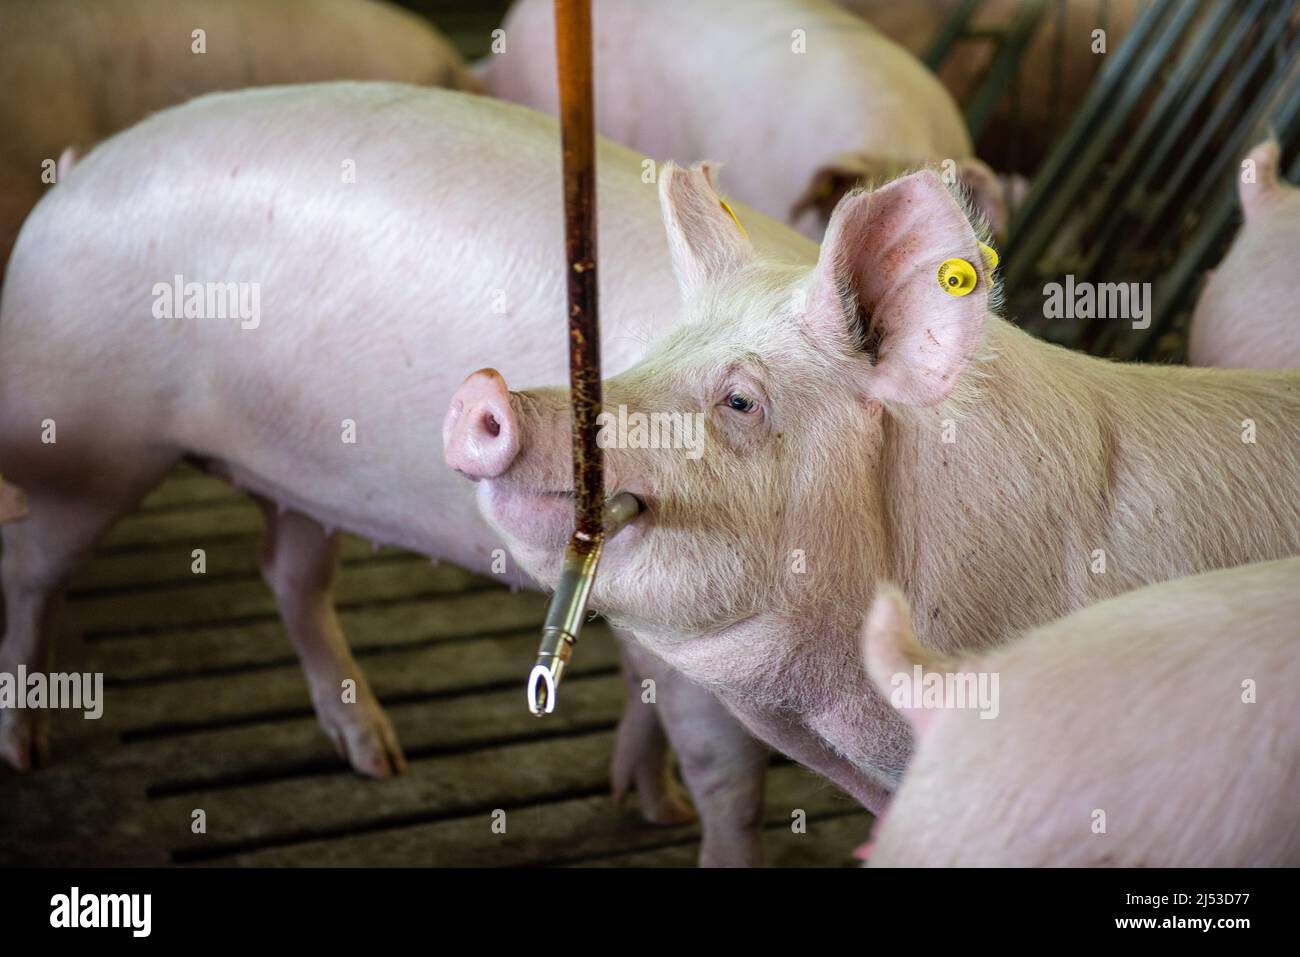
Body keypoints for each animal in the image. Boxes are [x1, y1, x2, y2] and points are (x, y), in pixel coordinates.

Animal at [0, 85, 813, 866]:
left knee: (289, 575)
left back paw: (378, 758)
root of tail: (72, 175)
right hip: (77, 438)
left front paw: (654, 807)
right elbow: (730, 781)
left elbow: (644, 699)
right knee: (35, 574)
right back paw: (24, 749)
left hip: (306, 473)